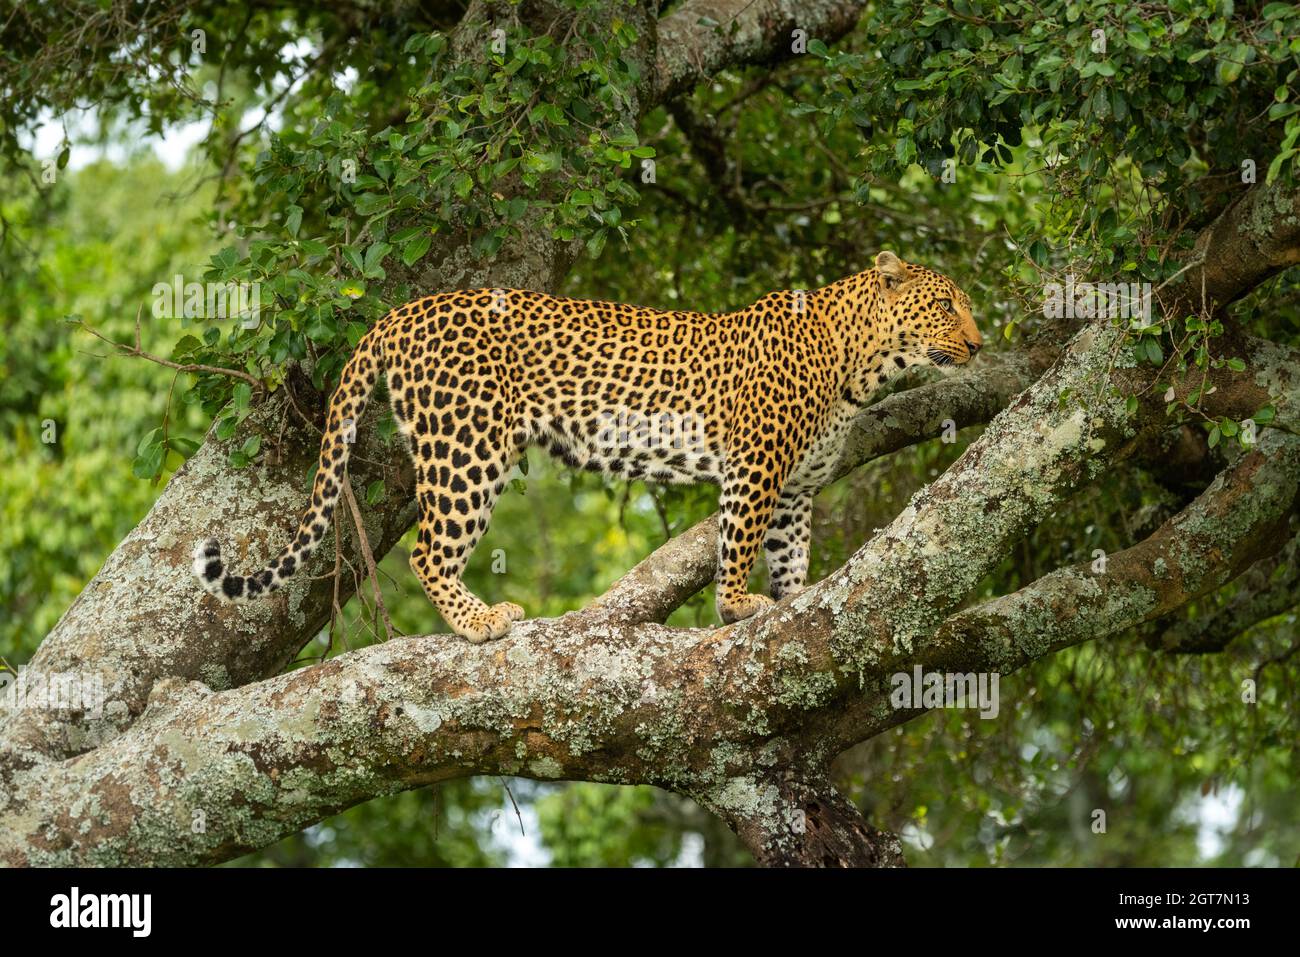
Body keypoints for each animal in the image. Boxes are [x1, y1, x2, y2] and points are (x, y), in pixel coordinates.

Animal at [194, 250, 982, 642]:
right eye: (946, 305)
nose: (979, 344)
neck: (861, 364)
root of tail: (404, 311)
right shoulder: (756, 466)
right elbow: (737, 541)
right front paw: (735, 606)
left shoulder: (794, 486)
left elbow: (789, 553)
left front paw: (795, 601)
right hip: (468, 444)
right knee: (429, 550)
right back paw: (480, 623)